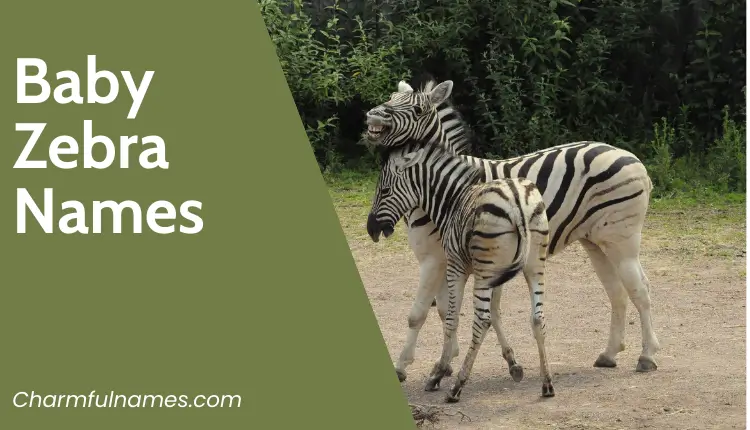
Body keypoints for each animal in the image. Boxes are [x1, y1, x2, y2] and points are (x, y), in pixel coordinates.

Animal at [367, 142, 555, 402]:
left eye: (384, 191)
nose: (371, 229)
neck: (451, 202)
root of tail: (517, 200)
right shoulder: (499, 273)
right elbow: (495, 313)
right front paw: (513, 363)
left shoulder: (456, 266)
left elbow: (451, 318)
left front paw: (439, 372)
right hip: (534, 265)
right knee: (537, 318)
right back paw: (547, 383)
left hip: (485, 271)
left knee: (481, 321)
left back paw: (457, 387)